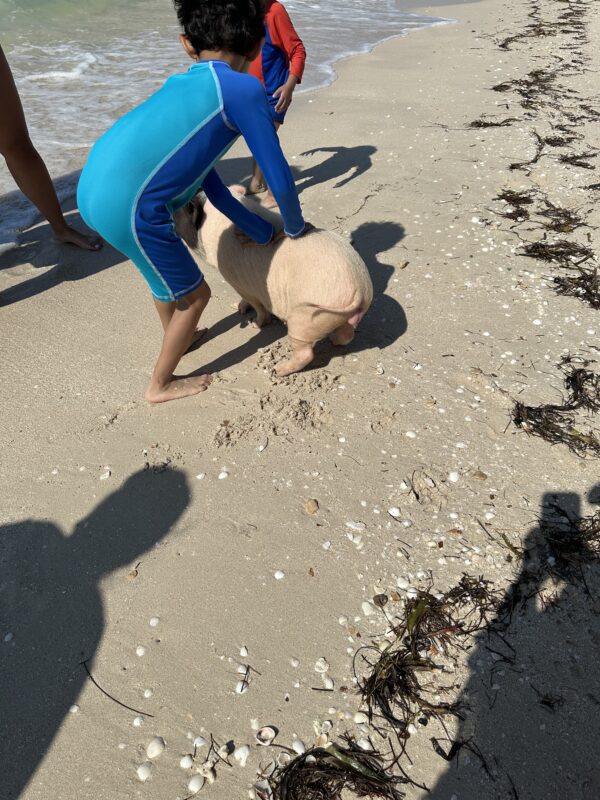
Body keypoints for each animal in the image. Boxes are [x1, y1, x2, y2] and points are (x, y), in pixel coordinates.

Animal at [175, 190, 373, 377]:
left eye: (183, 209)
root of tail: (360, 290)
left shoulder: (242, 284)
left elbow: (257, 306)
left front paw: (253, 322)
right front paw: (239, 310)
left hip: (303, 319)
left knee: (306, 353)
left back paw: (278, 370)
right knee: (347, 335)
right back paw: (333, 340)